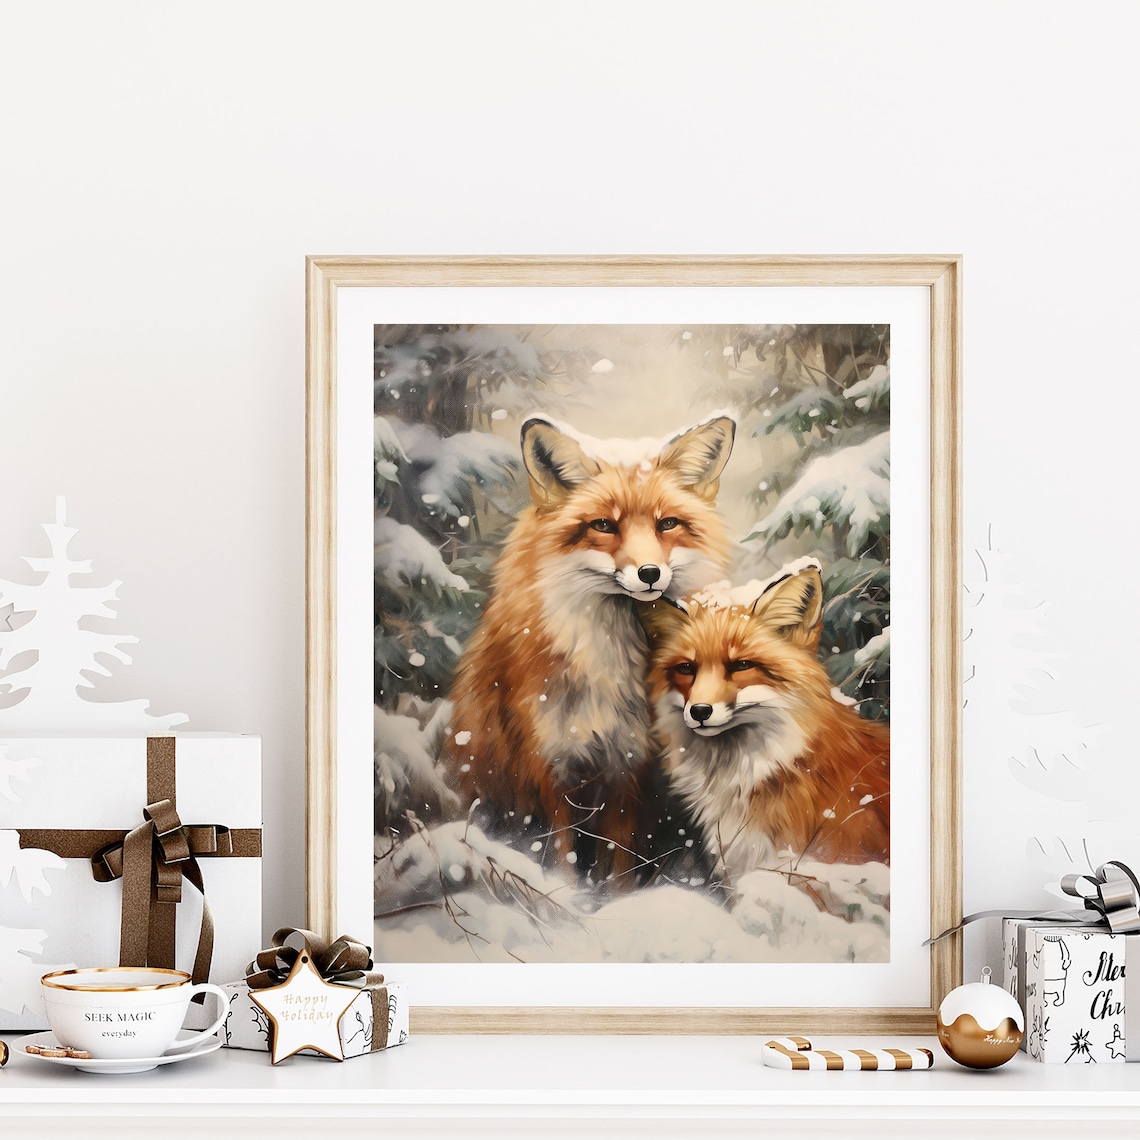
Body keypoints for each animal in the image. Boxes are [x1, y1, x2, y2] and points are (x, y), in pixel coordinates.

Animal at [444, 412, 736, 881]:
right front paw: (569, 897)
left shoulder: (629, 768)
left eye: (667, 524)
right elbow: (562, 858)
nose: (650, 573)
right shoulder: (552, 765)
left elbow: (618, 867)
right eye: (604, 525)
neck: (608, 667)